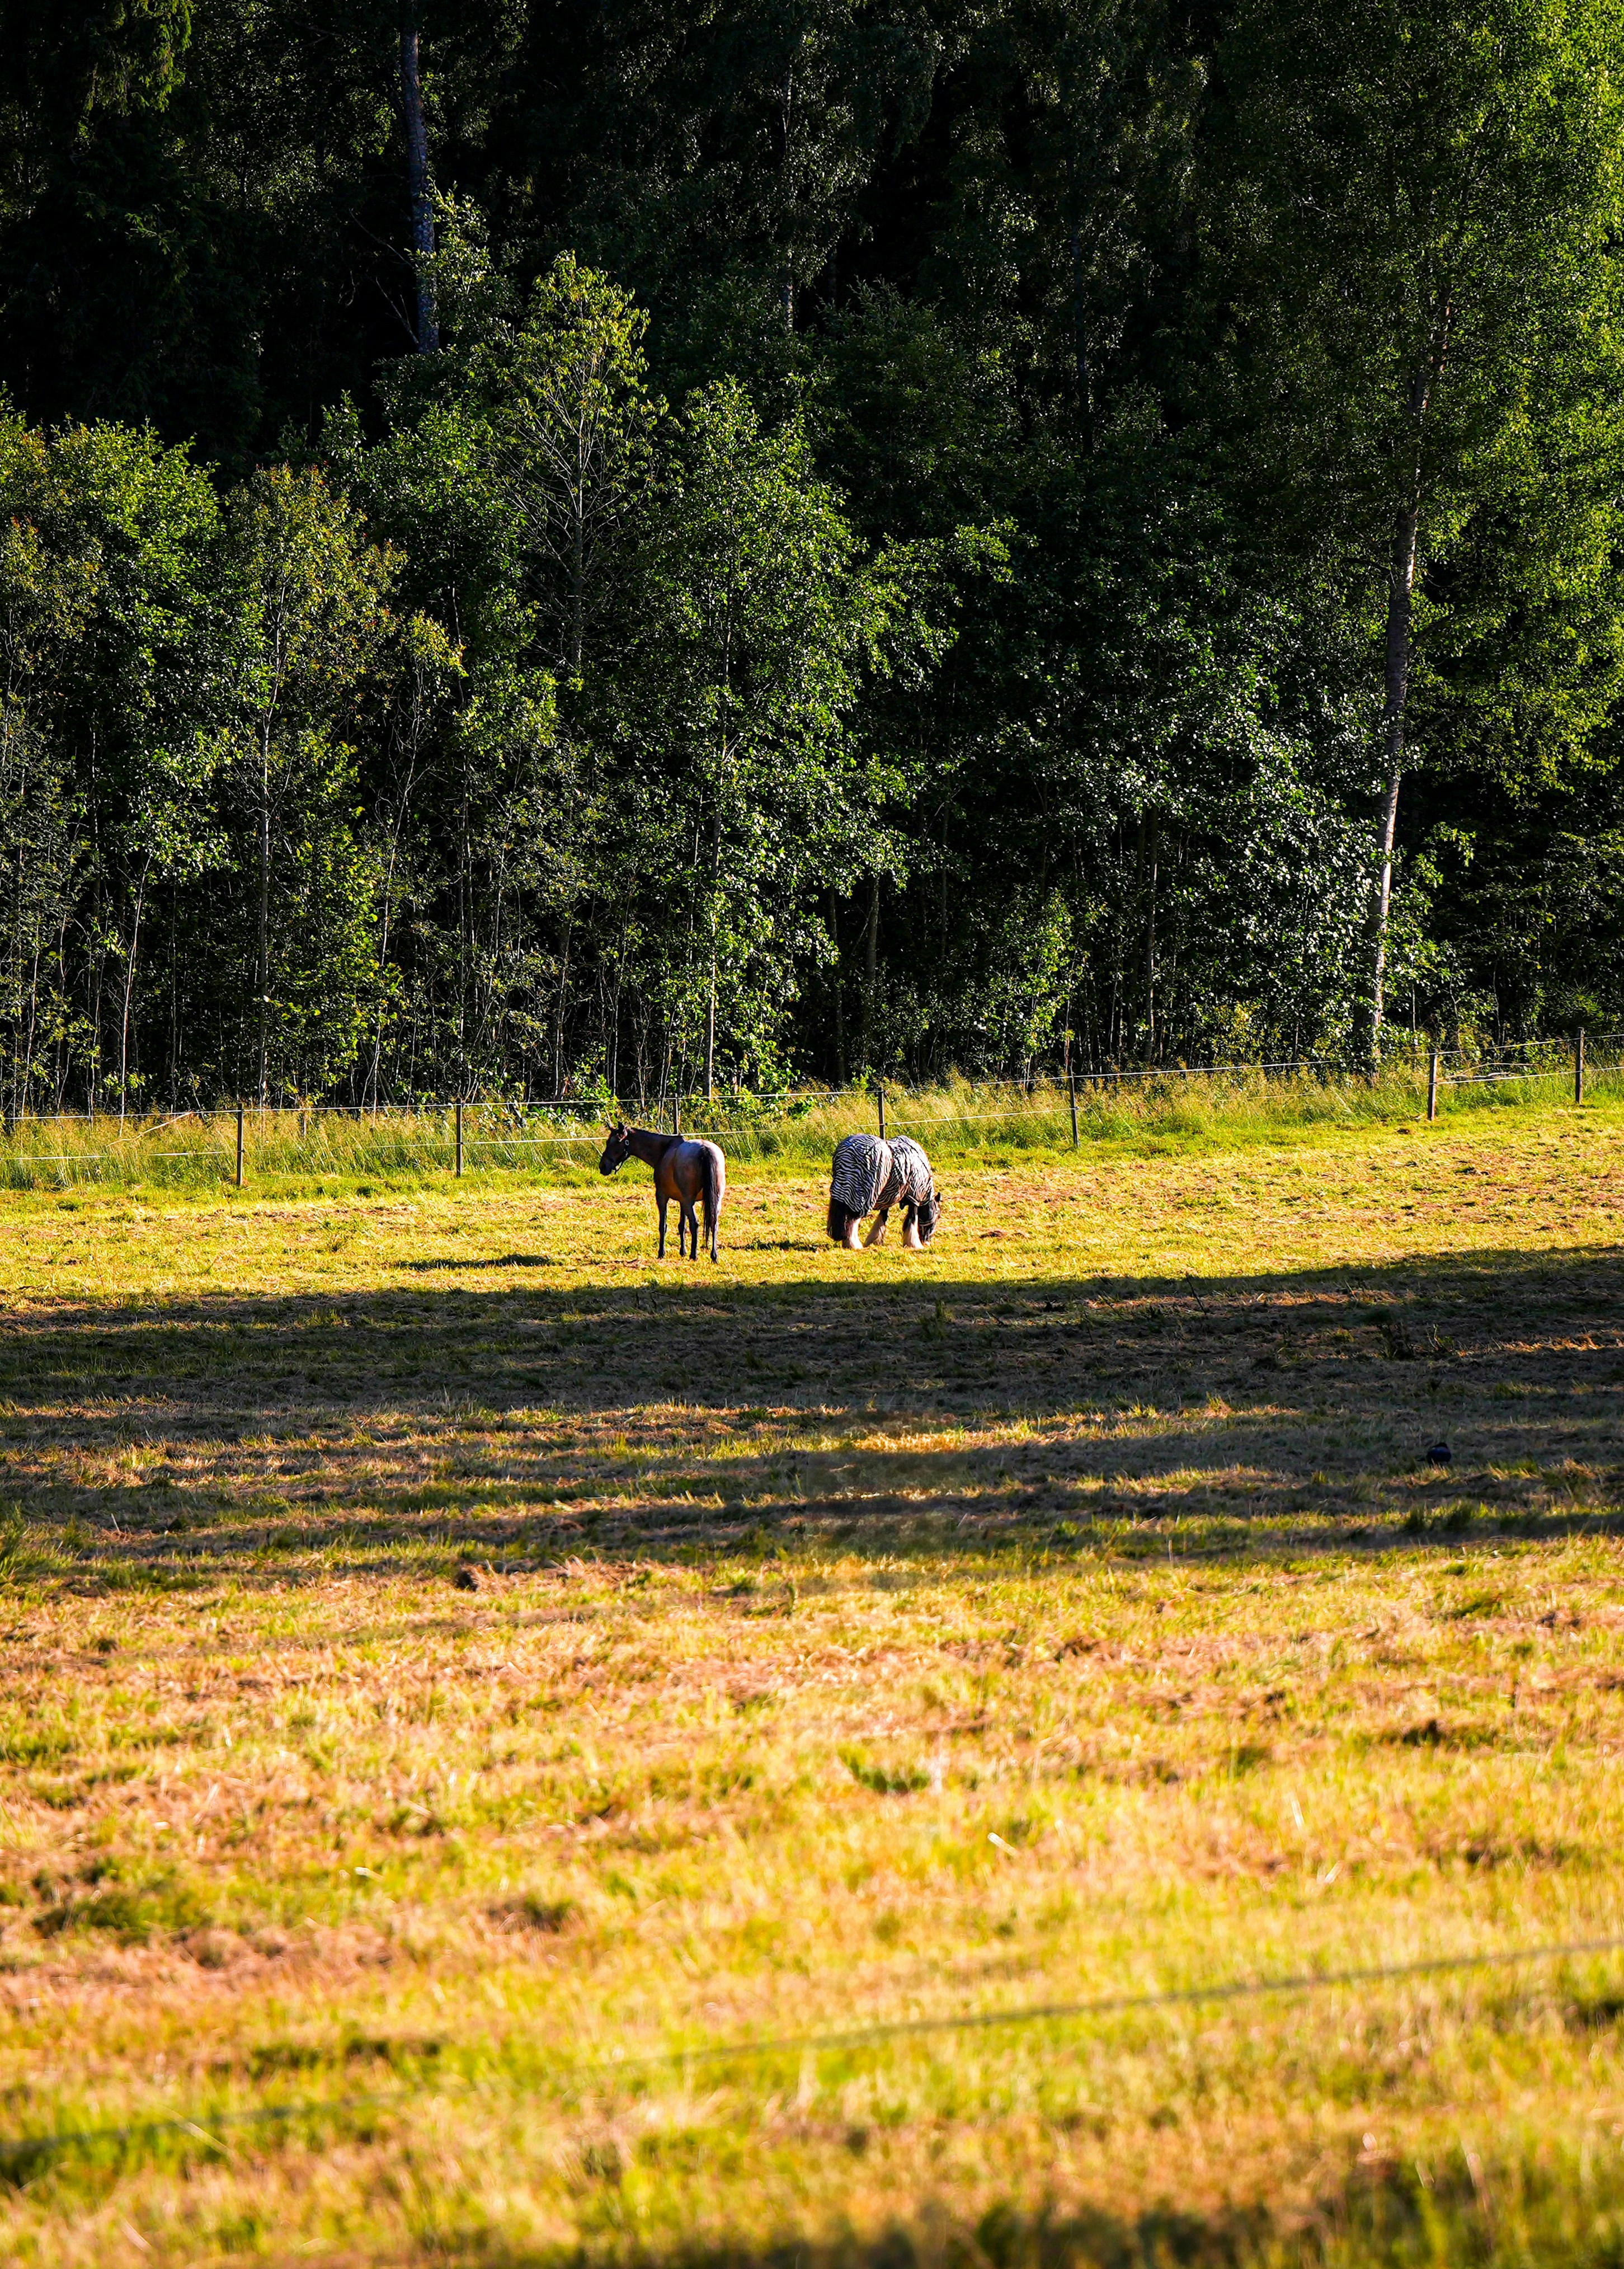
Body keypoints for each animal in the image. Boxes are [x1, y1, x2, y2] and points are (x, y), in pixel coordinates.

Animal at [599, 1123, 726, 1261]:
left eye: (615, 1142)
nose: (603, 1166)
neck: (664, 1150)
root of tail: (704, 1149)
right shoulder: (682, 1201)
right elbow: (682, 1226)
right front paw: (683, 1251)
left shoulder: (662, 1197)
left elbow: (663, 1226)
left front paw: (662, 1253)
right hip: (714, 1201)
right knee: (714, 1223)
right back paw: (714, 1256)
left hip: (689, 1201)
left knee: (695, 1224)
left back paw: (694, 1255)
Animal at [826, 1131, 942, 1251]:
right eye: (938, 1216)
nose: (927, 1242)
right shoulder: (914, 1198)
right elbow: (912, 1220)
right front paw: (914, 1244)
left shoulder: (888, 1197)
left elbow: (882, 1219)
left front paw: (875, 1241)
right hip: (861, 1197)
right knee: (852, 1220)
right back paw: (853, 1244)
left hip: (843, 1193)